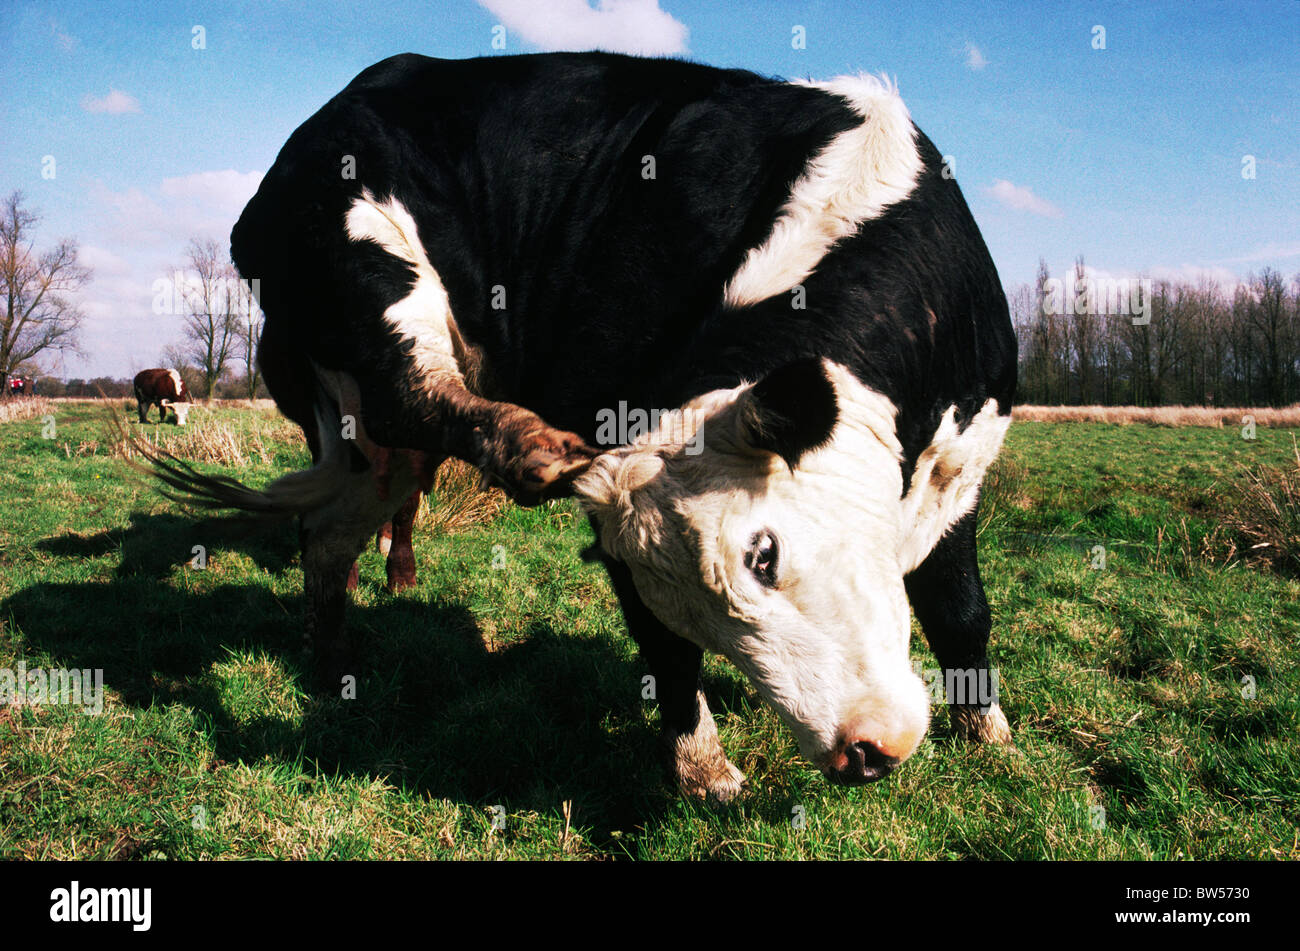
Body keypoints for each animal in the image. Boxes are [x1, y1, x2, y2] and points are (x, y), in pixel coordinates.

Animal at [145, 52, 1017, 801]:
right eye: (696, 600)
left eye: (762, 554)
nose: (859, 752)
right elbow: (667, 659)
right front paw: (703, 770)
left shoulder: (962, 472)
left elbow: (961, 609)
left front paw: (990, 732)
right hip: (363, 255)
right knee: (412, 391)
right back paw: (526, 448)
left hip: (371, 442)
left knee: (330, 533)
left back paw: (332, 665)